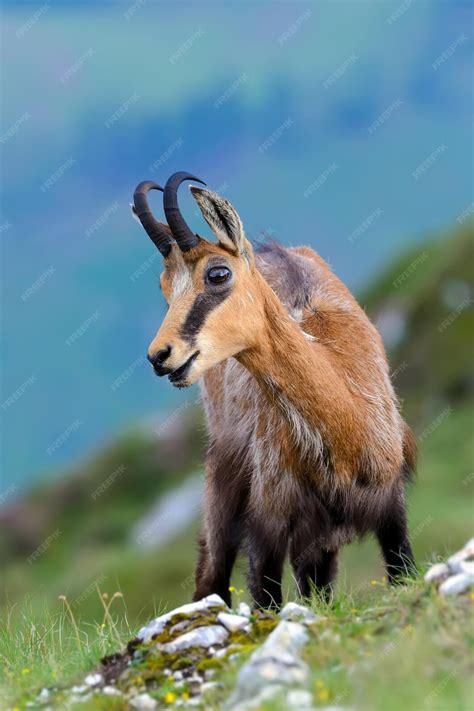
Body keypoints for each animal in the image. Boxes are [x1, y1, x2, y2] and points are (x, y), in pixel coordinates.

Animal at [132, 171, 416, 608]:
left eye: (218, 273)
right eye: (165, 288)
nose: (160, 356)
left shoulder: (391, 511)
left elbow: (403, 572)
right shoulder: (267, 524)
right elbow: (264, 598)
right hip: (225, 476)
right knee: (211, 570)